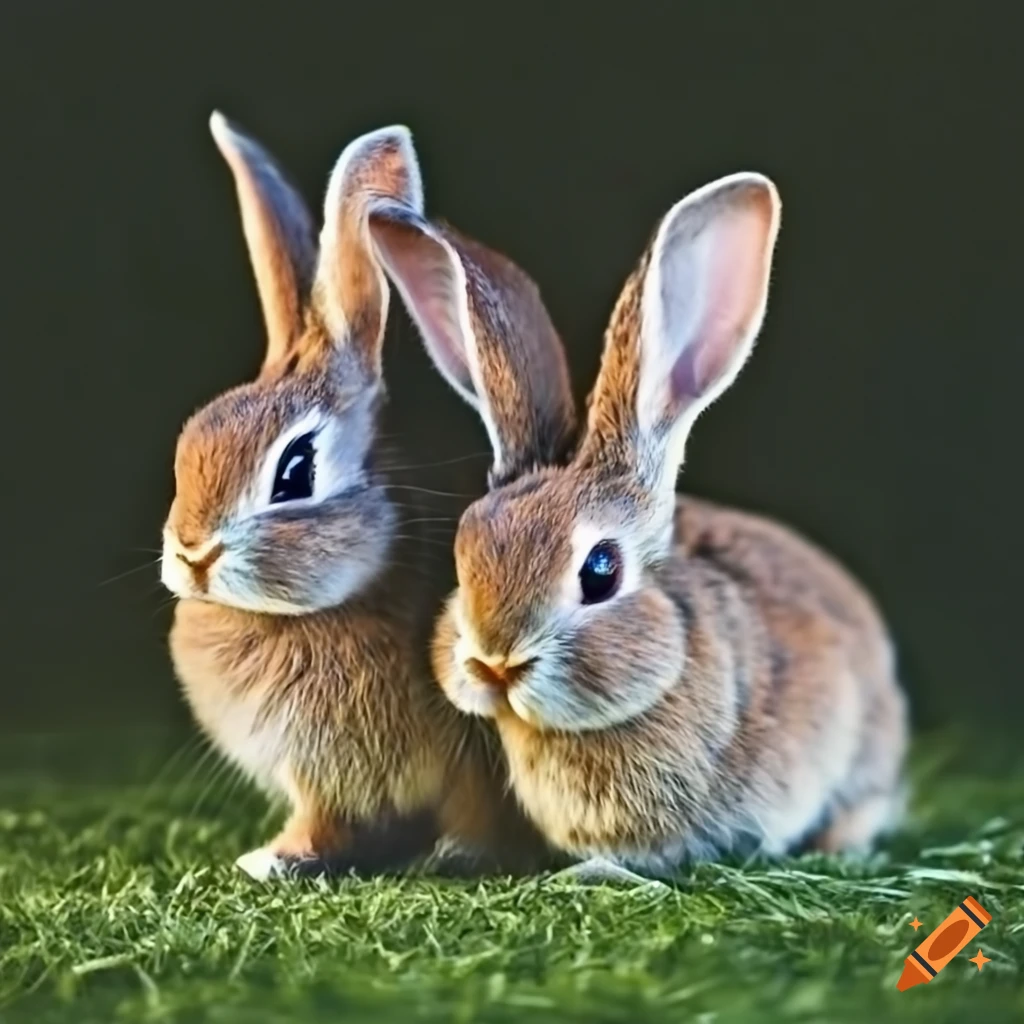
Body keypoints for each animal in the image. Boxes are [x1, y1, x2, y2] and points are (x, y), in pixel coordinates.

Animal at [159, 112, 548, 880]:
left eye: (294, 472)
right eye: (187, 452)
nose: (191, 555)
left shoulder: (351, 771)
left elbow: (332, 824)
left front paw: (272, 860)